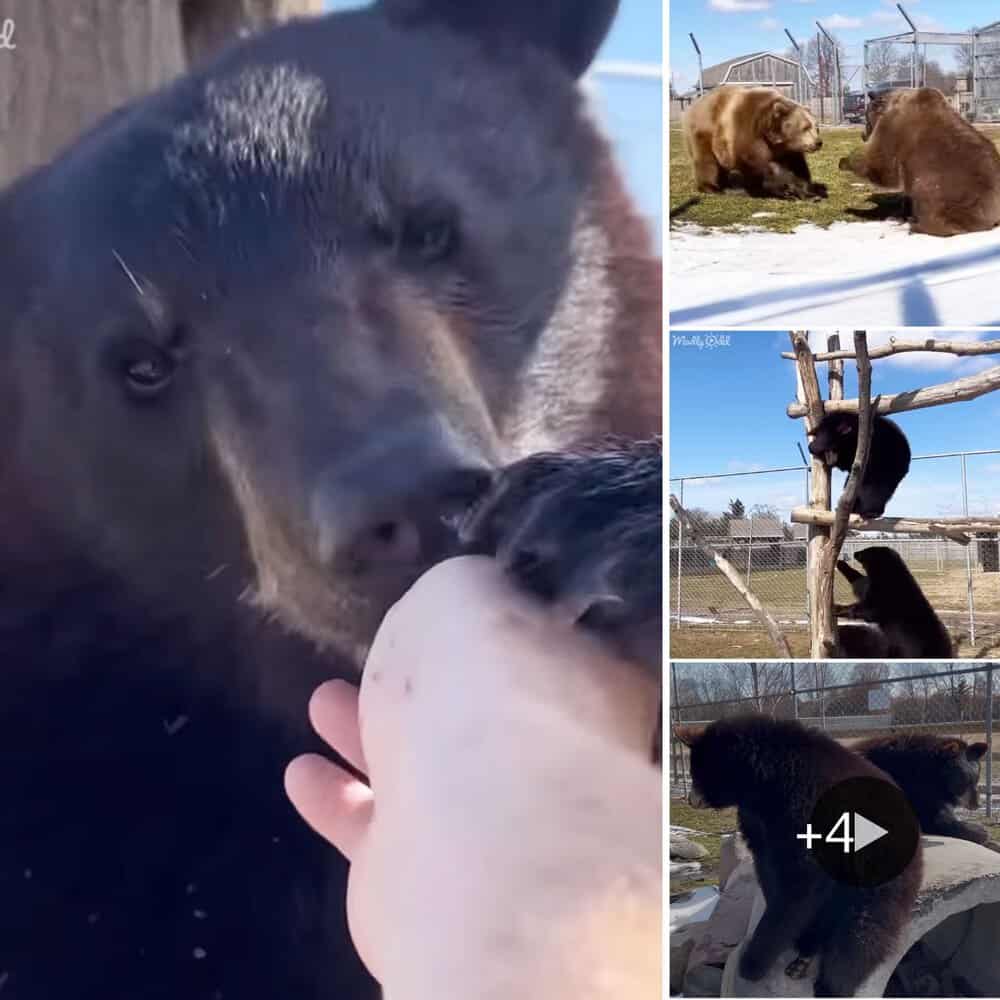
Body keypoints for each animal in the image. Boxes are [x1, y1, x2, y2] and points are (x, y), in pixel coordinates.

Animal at [676, 715, 922, 998]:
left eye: (698, 773)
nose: (691, 800)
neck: (763, 787)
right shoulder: (759, 825)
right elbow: (770, 873)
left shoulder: (805, 810)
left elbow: (799, 883)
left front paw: (753, 961)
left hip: (881, 875)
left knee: (864, 930)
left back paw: (831, 984)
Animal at [682, 86, 828, 201]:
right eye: (805, 127)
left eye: (816, 127)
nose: (818, 142)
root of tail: (693, 105)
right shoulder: (748, 135)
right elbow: (759, 169)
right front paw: (785, 190)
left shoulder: (788, 150)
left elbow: (798, 168)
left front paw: (810, 193)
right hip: (705, 133)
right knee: (707, 161)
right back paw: (712, 187)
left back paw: (725, 184)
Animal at [838, 87, 1000, 237]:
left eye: (866, 117)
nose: (863, 134)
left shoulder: (893, 129)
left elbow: (882, 166)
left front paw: (843, 161)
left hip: (948, 187)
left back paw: (917, 225)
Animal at [853, 733, 999, 852]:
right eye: (963, 781)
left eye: (976, 779)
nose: (976, 804)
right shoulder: (917, 789)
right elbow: (935, 818)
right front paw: (981, 832)